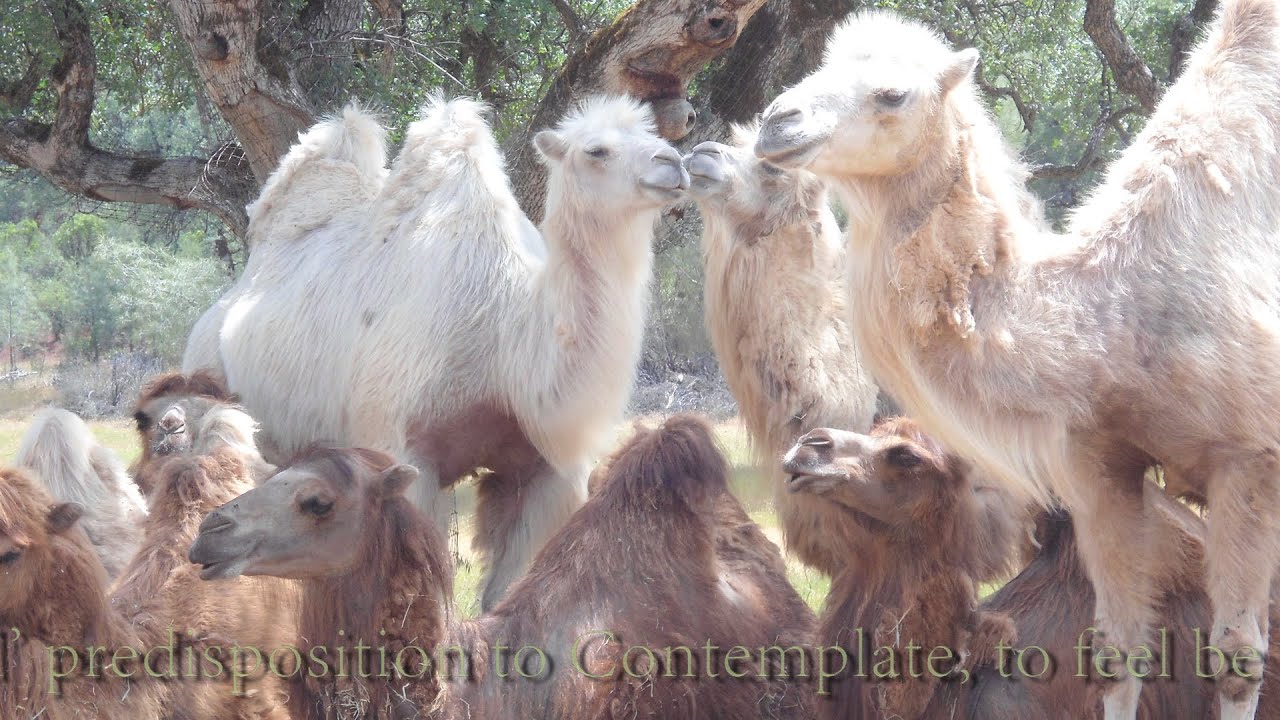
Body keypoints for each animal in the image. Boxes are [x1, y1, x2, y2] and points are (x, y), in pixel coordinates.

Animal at [184, 96, 690, 609]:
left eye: (657, 135)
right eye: (596, 150)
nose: (673, 164)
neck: (506, 340)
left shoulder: (549, 472)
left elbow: (505, 594)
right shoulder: (403, 451)